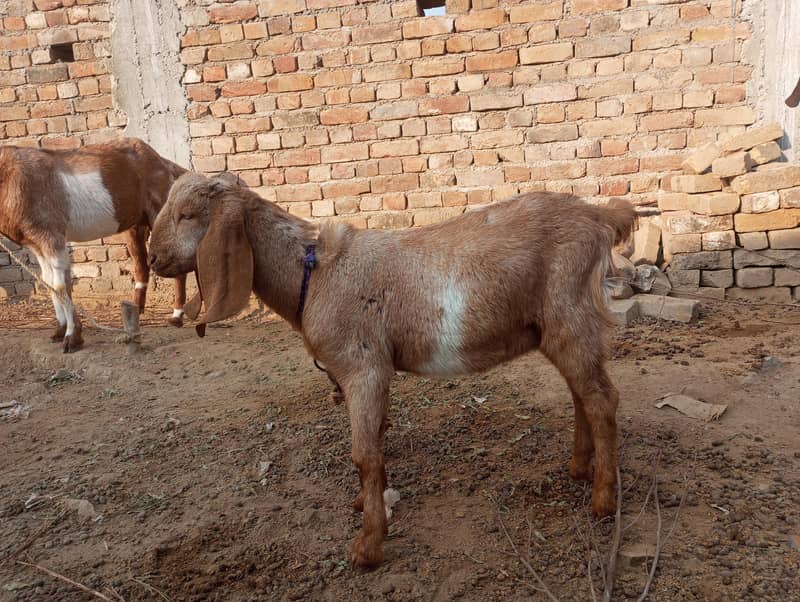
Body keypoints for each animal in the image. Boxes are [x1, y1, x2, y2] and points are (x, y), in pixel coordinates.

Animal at [0, 137, 188, 352]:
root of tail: (162, 162)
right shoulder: (36, 243)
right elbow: (49, 282)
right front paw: (60, 331)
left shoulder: (50, 236)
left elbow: (61, 285)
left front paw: (72, 337)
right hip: (135, 224)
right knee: (141, 264)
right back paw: (136, 310)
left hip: (159, 211)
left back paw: (176, 316)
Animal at [148, 172, 636, 568]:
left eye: (188, 214)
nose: (153, 259)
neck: (315, 274)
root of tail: (599, 215)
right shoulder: (375, 370)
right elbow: (378, 440)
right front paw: (366, 505)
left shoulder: (362, 367)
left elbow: (364, 454)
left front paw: (367, 547)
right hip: (558, 327)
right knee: (582, 393)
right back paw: (578, 468)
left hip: (569, 313)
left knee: (602, 399)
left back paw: (602, 499)